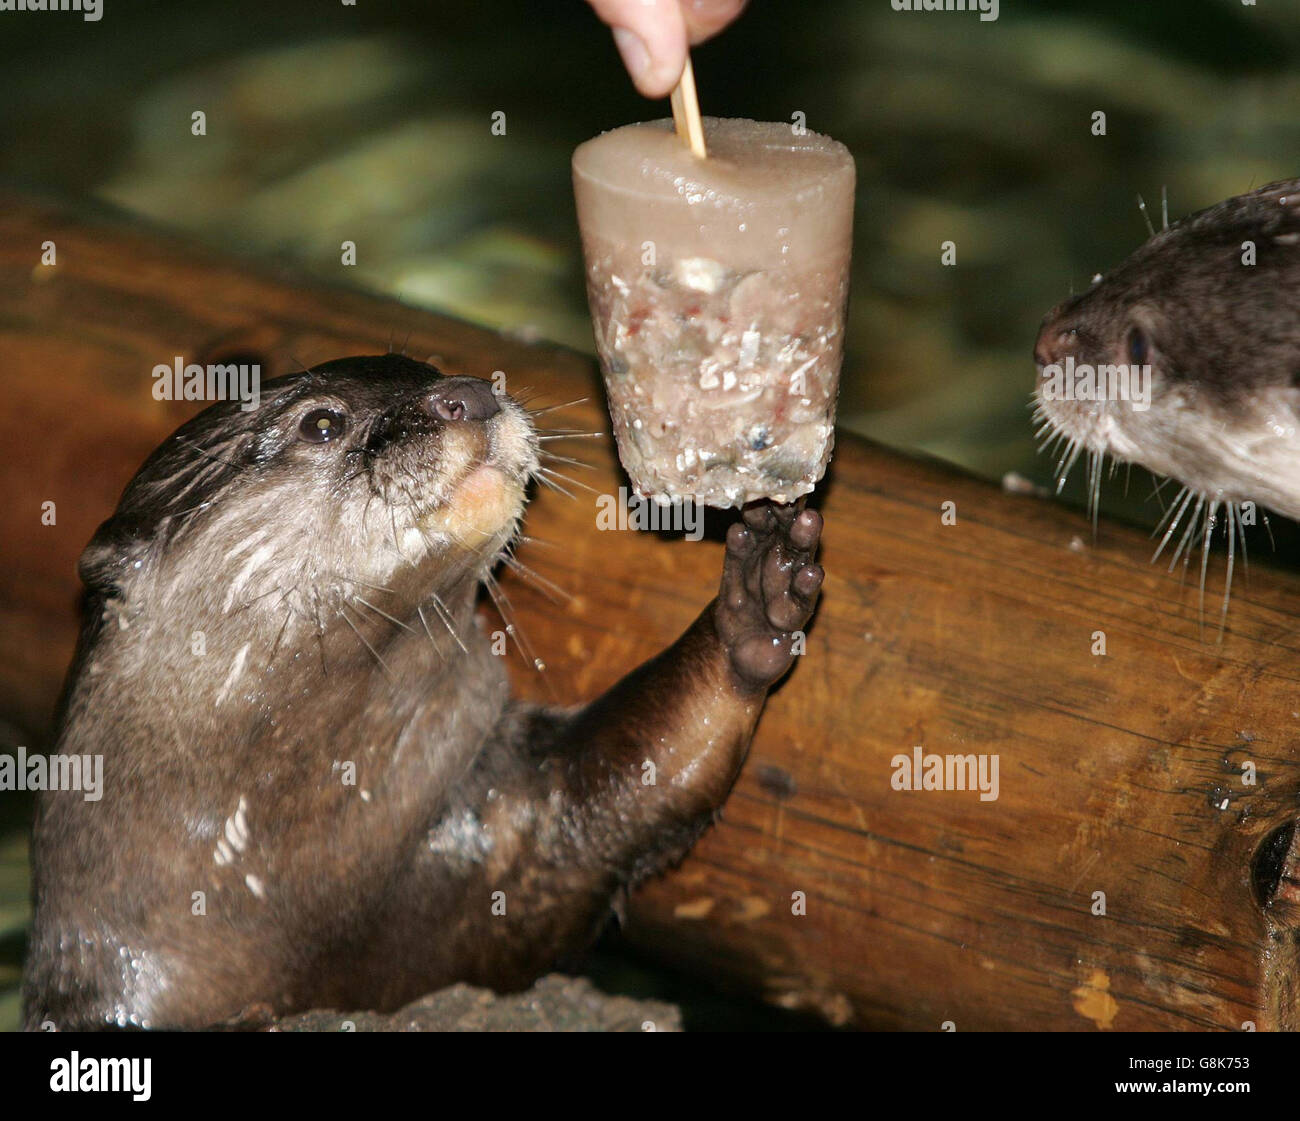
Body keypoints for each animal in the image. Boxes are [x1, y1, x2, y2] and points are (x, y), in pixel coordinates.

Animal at [22, 354, 823, 1030]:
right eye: (321, 423)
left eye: (429, 369)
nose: (468, 392)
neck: (281, 890)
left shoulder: (487, 854)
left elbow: (616, 794)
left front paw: (755, 602)